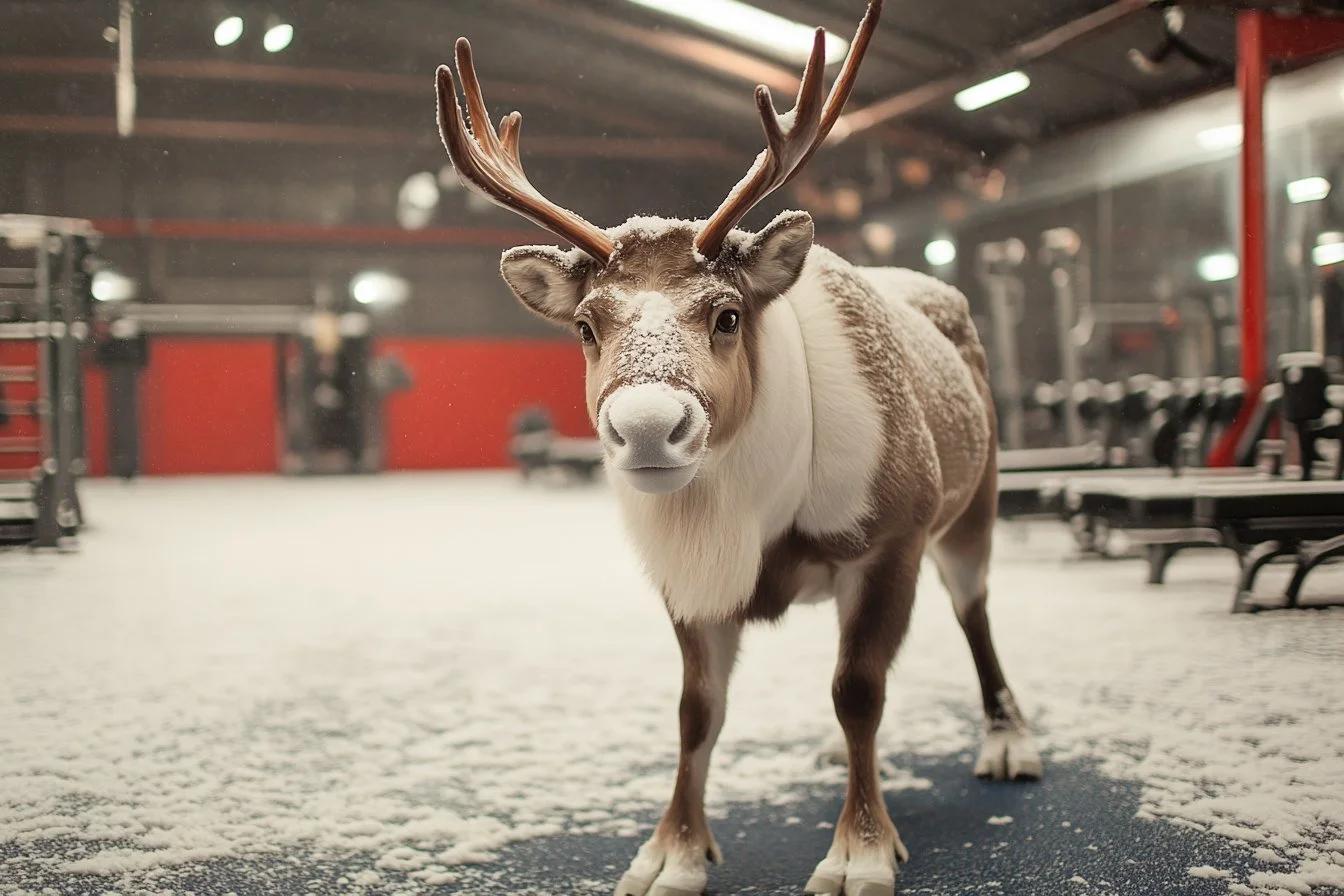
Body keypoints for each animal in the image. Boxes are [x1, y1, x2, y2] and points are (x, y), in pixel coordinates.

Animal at [434, 3, 1041, 894]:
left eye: (726, 313)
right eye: (585, 326)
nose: (648, 425)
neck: (759, 517)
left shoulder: (890, 539)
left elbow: (858, 689)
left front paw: (860, 849)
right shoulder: (686, 581)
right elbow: (698, 712)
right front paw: (672, 851)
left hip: (975, 505)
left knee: (973, 612)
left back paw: (1008, 740)